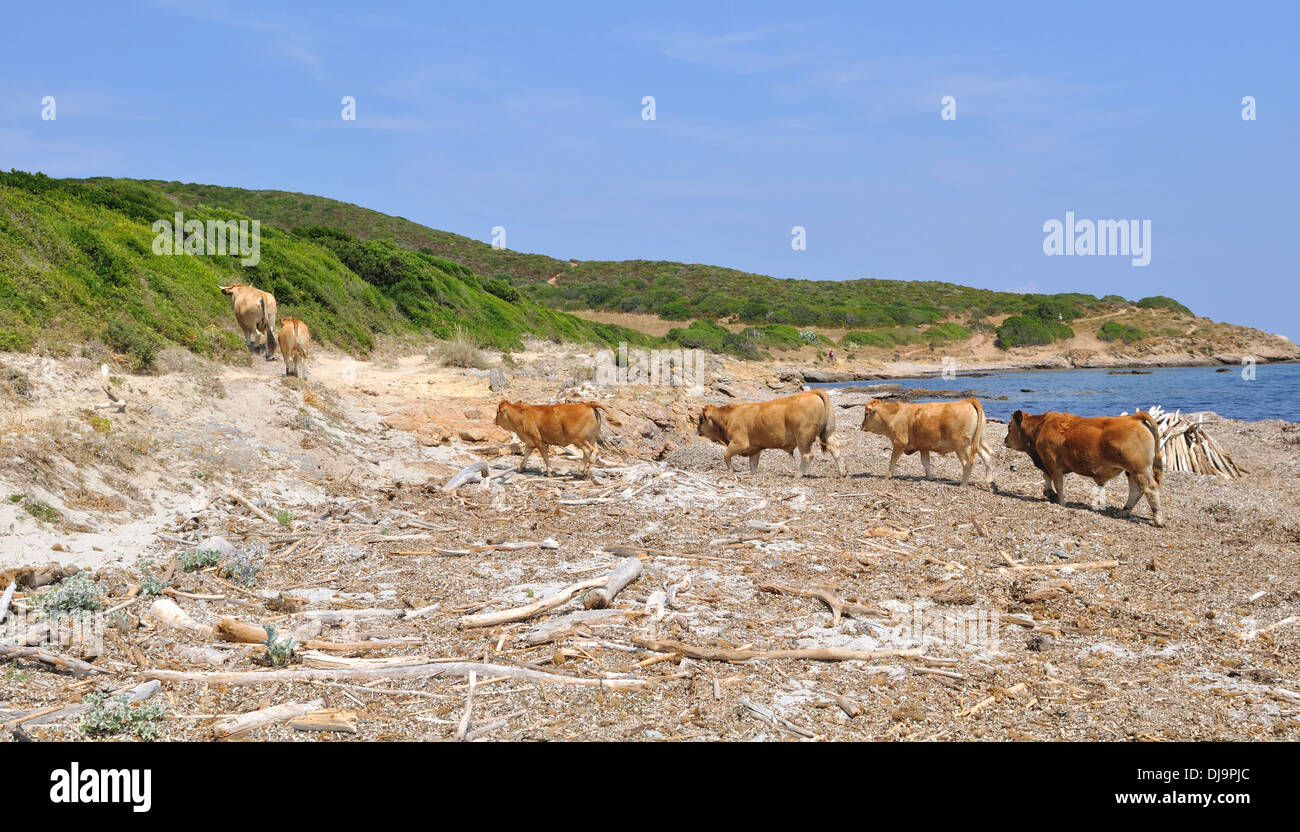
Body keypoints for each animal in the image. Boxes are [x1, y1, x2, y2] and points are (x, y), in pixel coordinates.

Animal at [696, 389, 845, 478]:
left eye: (700, 419)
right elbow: (753, 465)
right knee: (835, 450)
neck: (729, 417)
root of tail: (812, 392)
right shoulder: (755, 448)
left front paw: (732, 470)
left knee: (808, 455)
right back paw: (842, 473)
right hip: (828, 432)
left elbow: (726, 455)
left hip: (803, 437)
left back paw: (797, 475)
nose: (697, 431)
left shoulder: (739, 443)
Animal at [859, 397, 995, 488]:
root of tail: (968, 400)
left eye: (866, 413)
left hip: (961, 445)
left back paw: (962, 485)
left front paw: (887, 476)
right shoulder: (923, 446)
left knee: (968, 463)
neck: (894, 415)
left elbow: (893, 460)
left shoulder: (899, 442)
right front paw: (929, 478)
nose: (861, 426)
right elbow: (925, 462)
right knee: (987, 455)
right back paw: (988, 480)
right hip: (980, 440)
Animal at [1004, 410, 1164, 527]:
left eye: (1009, 427)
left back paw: (1158, 519)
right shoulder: (1045, 463)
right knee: (1136, 490)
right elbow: (1047, 479)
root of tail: (1133, 418)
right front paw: (1050, 494)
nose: (1005, 440)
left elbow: (1058, 484)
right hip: (1131, 471)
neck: (1041, 427)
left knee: (1150, 489)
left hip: (1139, 470)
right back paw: (1124, 512)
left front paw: (1060, 501)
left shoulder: (1052, 464)